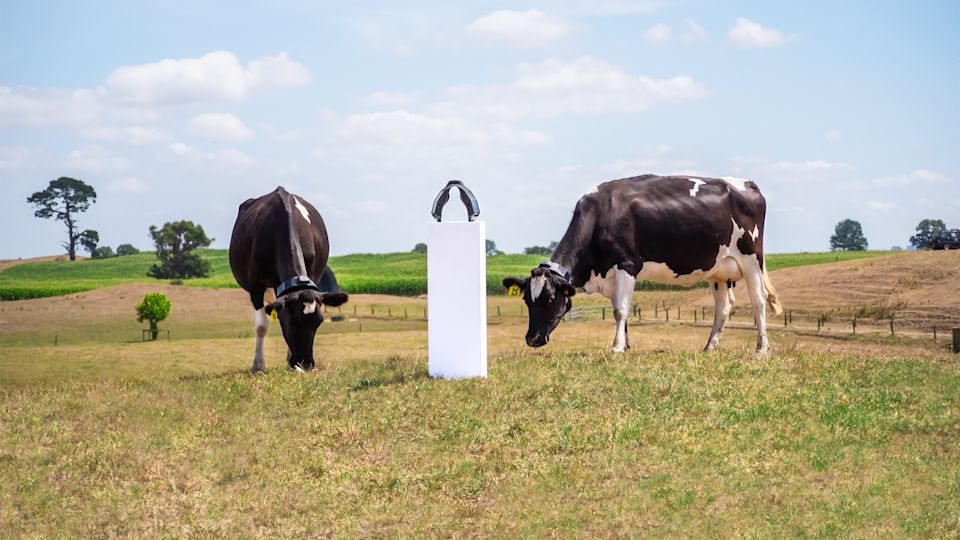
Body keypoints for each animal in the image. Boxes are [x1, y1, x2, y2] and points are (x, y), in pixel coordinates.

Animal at [229, 186, 348, 373]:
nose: (305, 363)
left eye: (319, 322)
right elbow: (261, 326)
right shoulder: (255, 287)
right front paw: (258, 366)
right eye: (292, 323)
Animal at [503, 174, 782, 354]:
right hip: (719, 270)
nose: (532, 339)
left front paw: (617, 348)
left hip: (751, 259)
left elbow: (620, 309)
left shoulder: (627, 264)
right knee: (723, 308)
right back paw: (710, 347)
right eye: (526, 300)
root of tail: (746, 184)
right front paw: (625, 345)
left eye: (550, 298)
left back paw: (762, 348)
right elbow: (621, 310)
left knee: (758, 301)